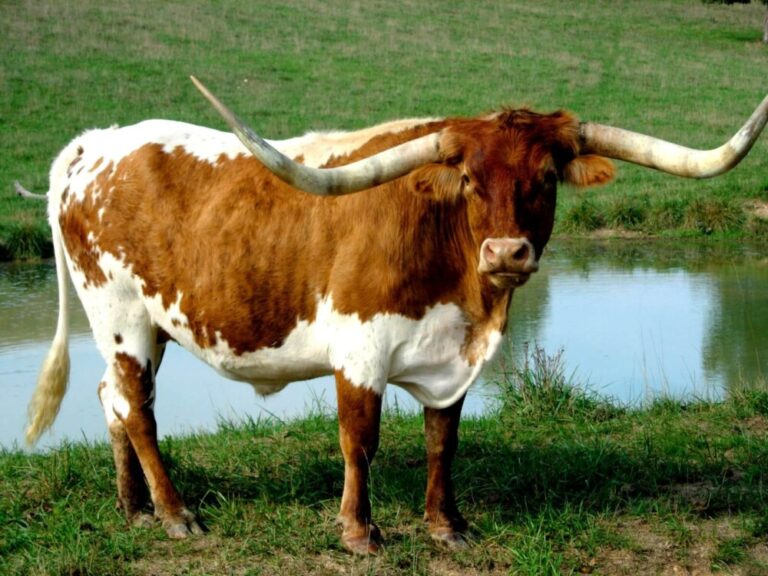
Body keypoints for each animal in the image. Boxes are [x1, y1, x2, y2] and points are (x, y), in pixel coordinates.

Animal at [24, 77, 768, 554]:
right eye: (468, 179)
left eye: (546, 179)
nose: (506, 251)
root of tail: (95, 145)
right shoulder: (361, 351)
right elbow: (361, 440)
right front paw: (359, 533)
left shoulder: (451, 358)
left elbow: (443, 439)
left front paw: (447, 526)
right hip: (121, 315)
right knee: (138, 410)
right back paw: (176, 514)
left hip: (142, 327)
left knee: (114, 399)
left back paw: (133, 509)